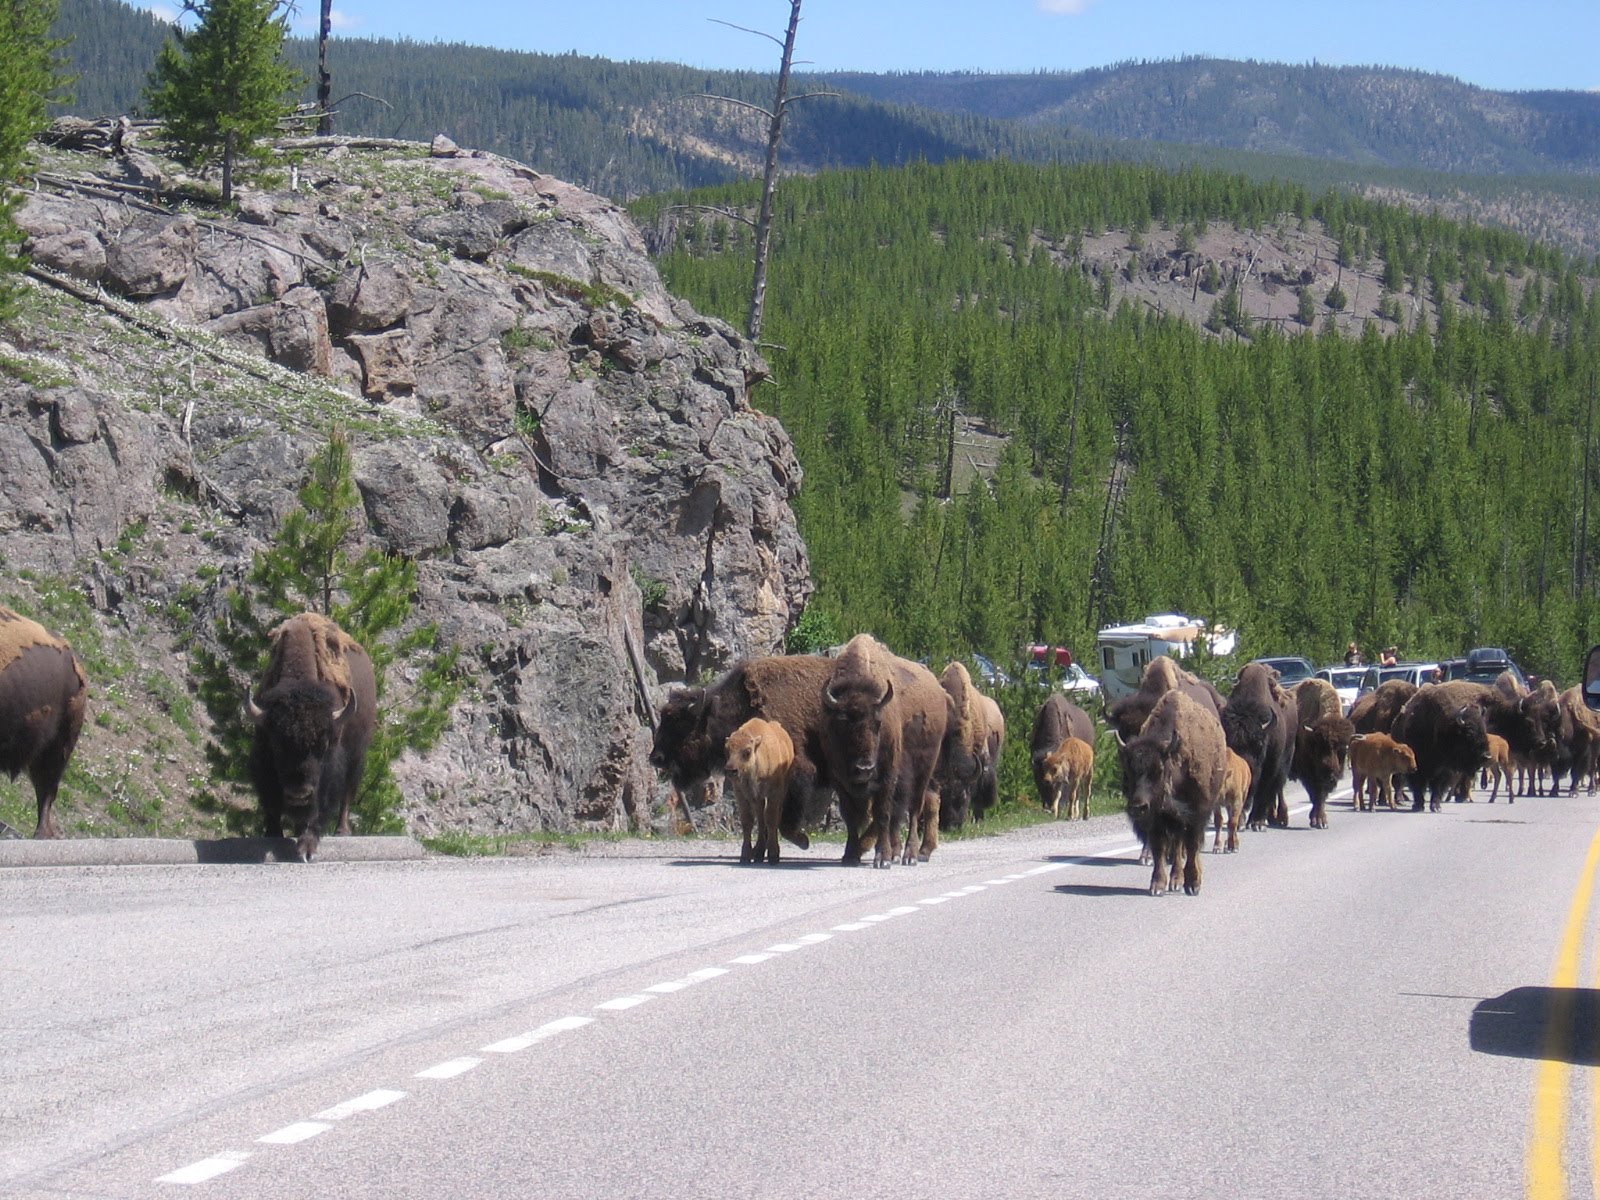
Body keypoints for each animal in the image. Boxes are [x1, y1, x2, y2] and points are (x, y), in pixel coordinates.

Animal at [247, 612, 376, 861]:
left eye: (322, 746)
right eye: (276, 745)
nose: (299, 794)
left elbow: (320, 804)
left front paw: (307, 847)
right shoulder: (263, 757)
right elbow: (271, 802)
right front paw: (273, 834)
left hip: (358, 754)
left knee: (348, 792)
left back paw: (342, 831)